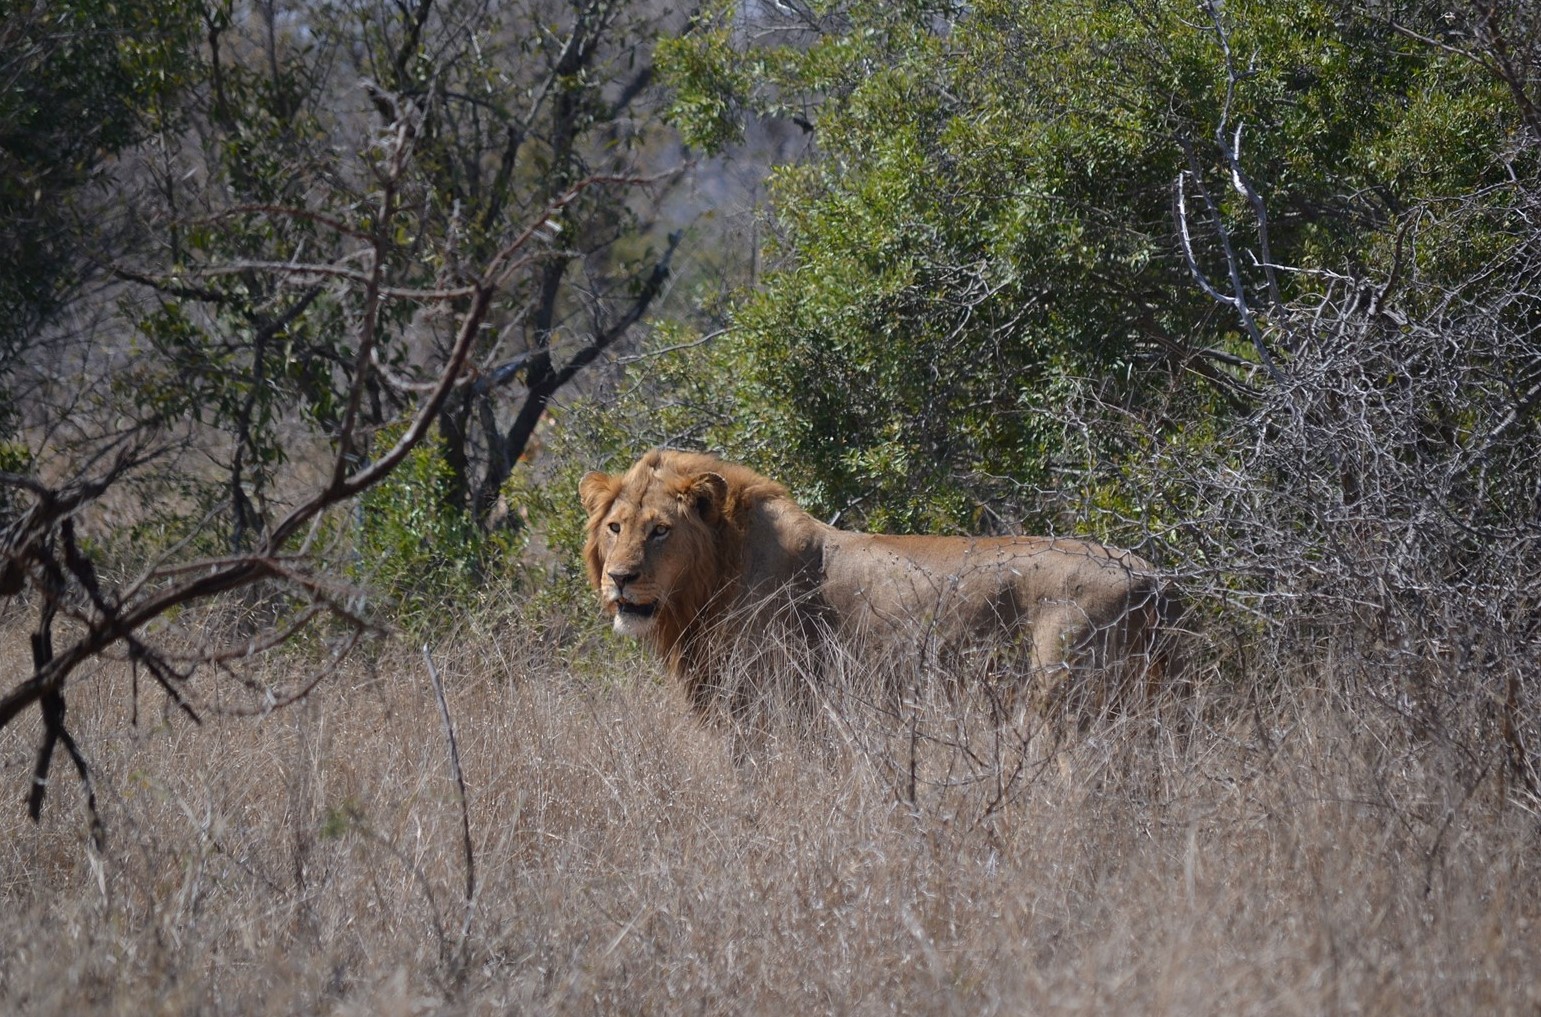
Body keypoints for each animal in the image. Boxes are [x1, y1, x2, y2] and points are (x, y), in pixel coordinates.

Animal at [580, 449, 1180, 727]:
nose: (620, 578)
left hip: (1070, 703)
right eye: (615, 528)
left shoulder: (772, 706)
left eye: (660, 530)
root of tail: (1153, 577)